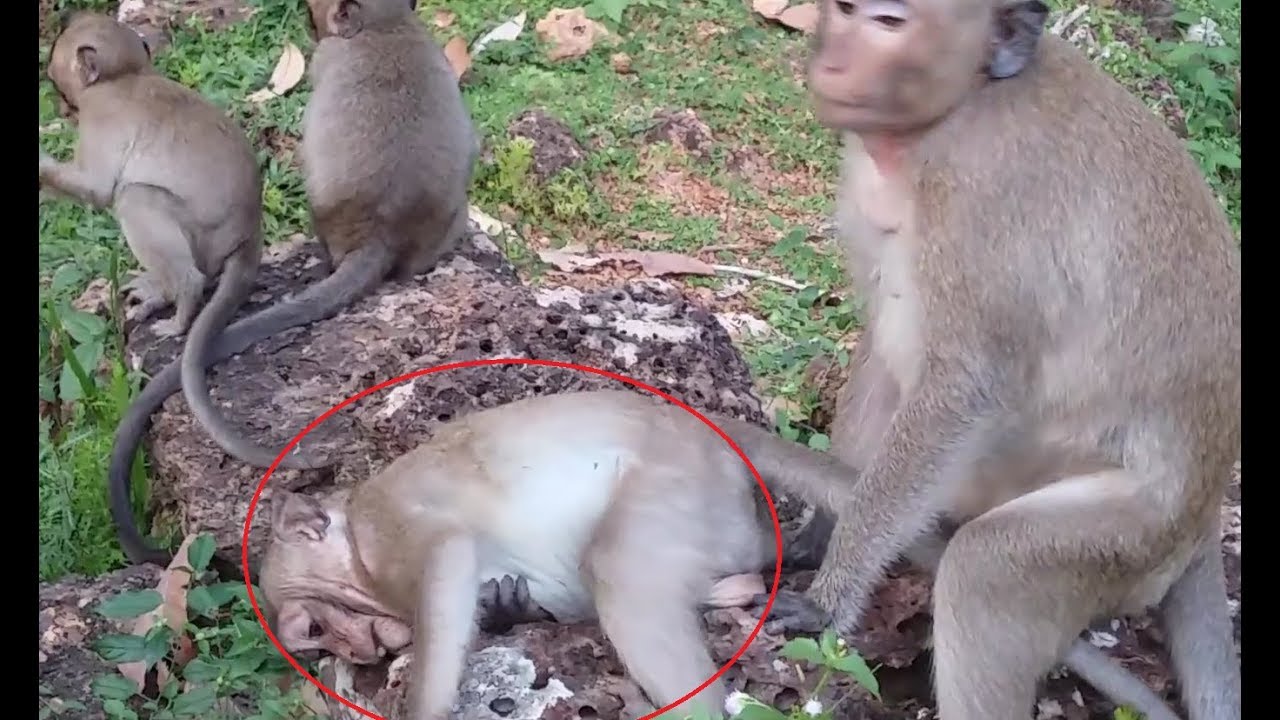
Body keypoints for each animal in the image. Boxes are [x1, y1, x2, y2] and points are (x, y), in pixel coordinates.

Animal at [259, 389, 1187, 720]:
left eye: (313, 624)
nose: (346, 649)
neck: (359, 537)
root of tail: (711, 434)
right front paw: (508, 606)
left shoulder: (397, 534)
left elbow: (448, 570)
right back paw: (744, 587)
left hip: (675, 489)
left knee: (626, 577)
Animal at [742, 1, 1242, 719]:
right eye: (845, 10)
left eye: (890, 22)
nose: (834, 61)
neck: (956, 109)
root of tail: (1203, 515)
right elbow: (883, 340)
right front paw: (824, 529)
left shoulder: (983, 187)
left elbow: (965, 387)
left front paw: (830, 596)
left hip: (1133, 538)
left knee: (986, 568)